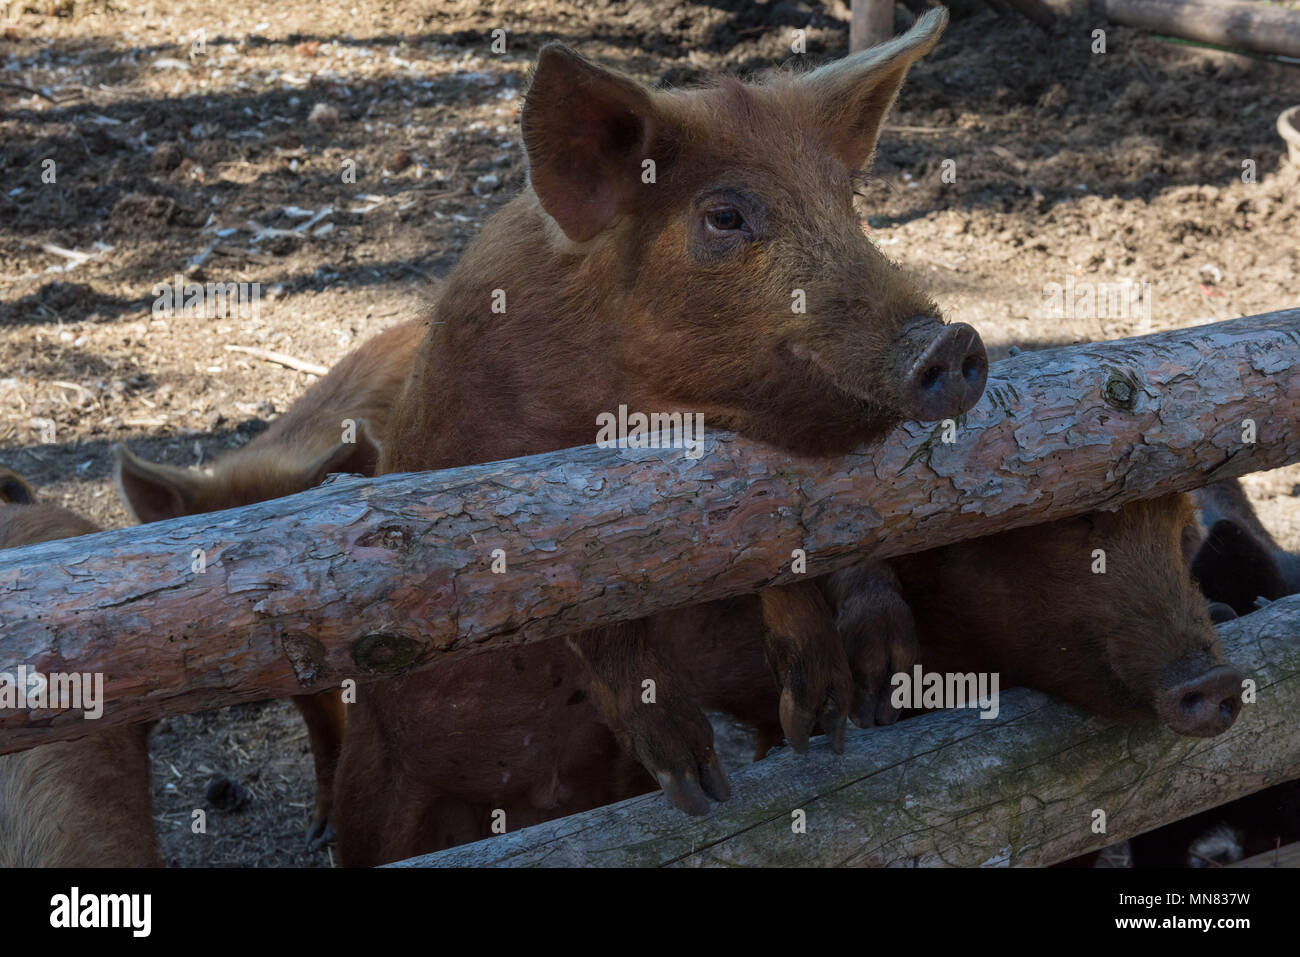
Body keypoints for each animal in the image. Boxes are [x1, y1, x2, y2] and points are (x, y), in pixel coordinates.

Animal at [338, 8, 989, 862]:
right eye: (725, 216)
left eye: (848, 199)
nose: (952, 341)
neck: (645, 406)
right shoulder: (500, 479)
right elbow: (583, 607)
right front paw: (701, 788)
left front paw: (842, 715)